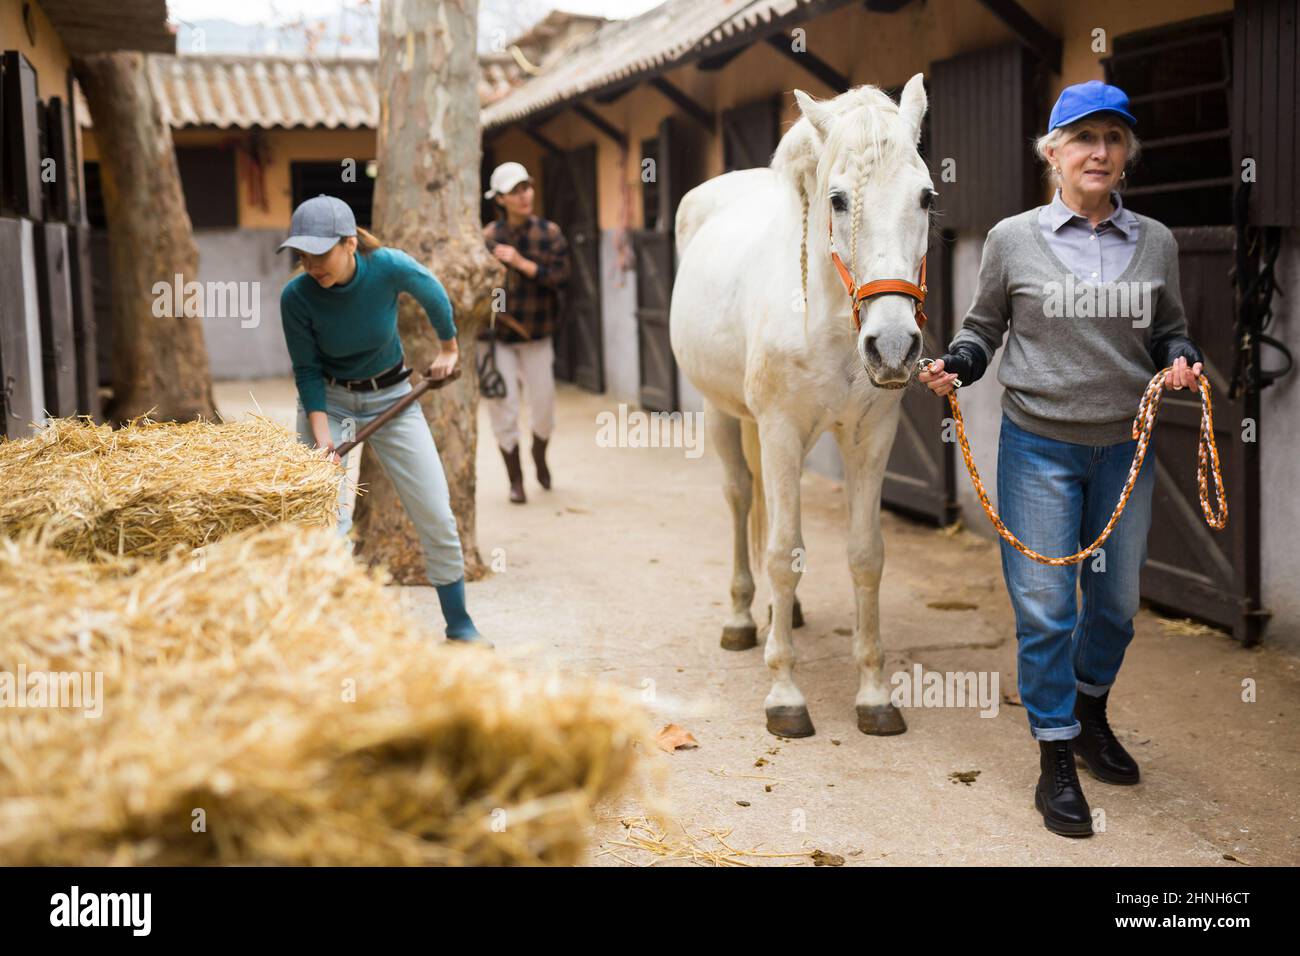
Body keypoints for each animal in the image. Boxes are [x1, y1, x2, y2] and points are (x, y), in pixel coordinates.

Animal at [669, 76, 935, 738]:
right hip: (724, 415)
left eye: (926, 197)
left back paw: (780, 613)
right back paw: (743, 618)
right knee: (742, 499)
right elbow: (782, 554)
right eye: (837, 199)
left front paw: (874, 694)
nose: (894, 345)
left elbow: (865, 557)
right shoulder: (781, 430)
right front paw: (785, 694)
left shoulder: (870, 435)